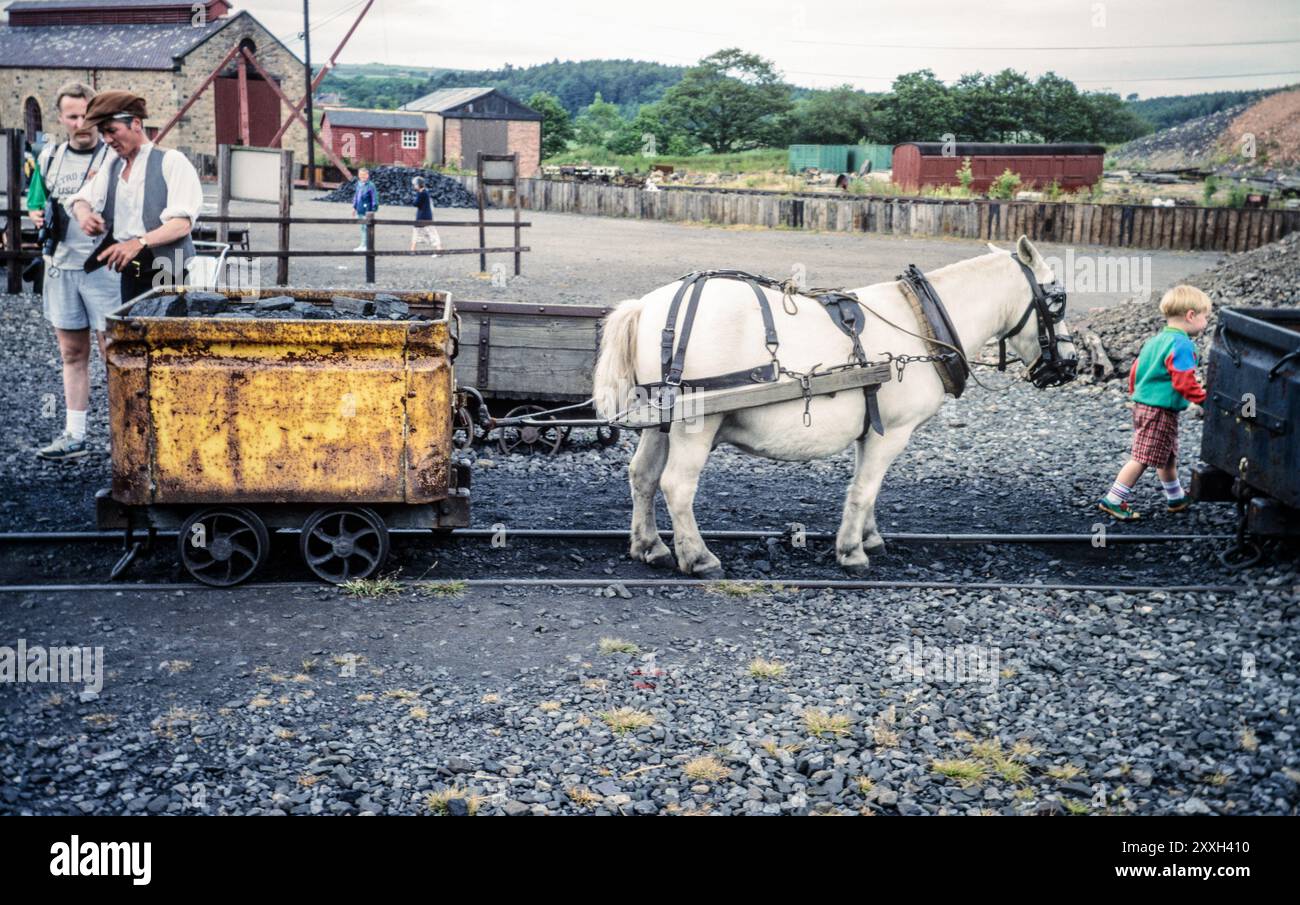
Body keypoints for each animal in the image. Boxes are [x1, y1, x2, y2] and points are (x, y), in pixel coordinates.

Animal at [592, 235, 1079, 578]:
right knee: (676, 485)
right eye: (1056, 301)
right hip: (697, 423)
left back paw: (651, 546)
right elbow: (864, 488)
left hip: (660, 420)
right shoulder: (894, 431)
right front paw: (851, 552)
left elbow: (869, 490)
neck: (921, 323)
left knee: (643, 476)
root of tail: (648, 306)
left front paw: (870, 537)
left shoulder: (873, 429)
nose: (1071, 363)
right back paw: (698, 557)